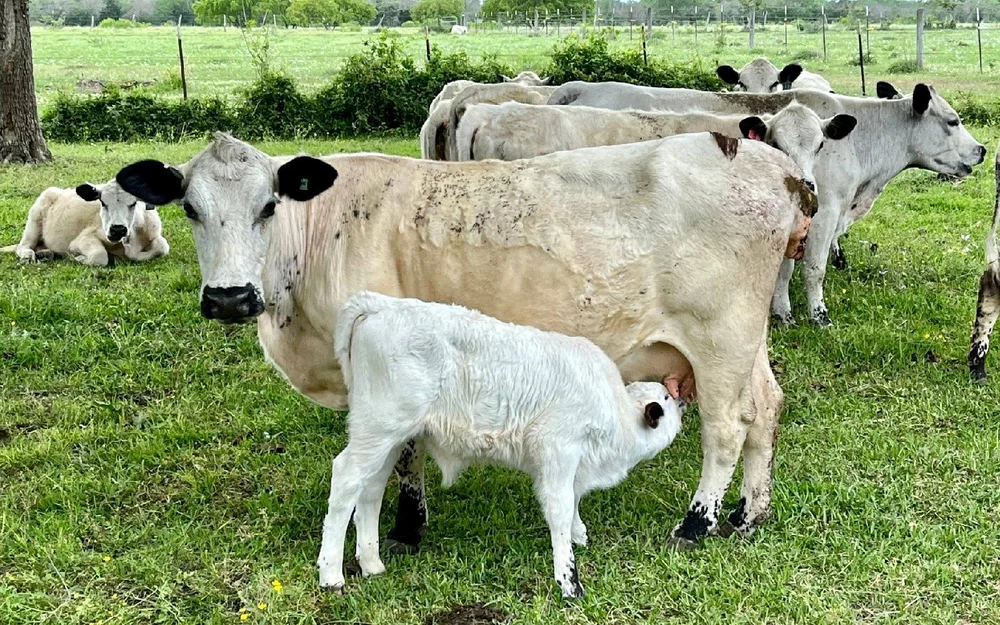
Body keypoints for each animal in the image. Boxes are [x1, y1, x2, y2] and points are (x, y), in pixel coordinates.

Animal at [1, 181, 169, 266]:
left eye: (133, 203)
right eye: (102, 202)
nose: (117, 229)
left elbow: (162, 246)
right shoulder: (83, 238)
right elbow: (99, 255)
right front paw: (79, 258)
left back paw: (45, 254)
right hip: (35, 216)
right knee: (23, 245)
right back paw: (30, 255)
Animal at [115, 131, 816, 558]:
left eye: (269, 205)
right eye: (189, 209)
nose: (230, 298)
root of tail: (773, 164)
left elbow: (402, 454)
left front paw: (405, 527)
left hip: (720, 337)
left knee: (725, 428)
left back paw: (698, 522)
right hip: (746, 342)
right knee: (767, 411)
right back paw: (749, 514)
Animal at [548, 81, 986, 325]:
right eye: (952, 121)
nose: (982, 150)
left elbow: (786, 268)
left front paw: (781, 311)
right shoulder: (824, 212)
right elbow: (813, 269)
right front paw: (817, 315)